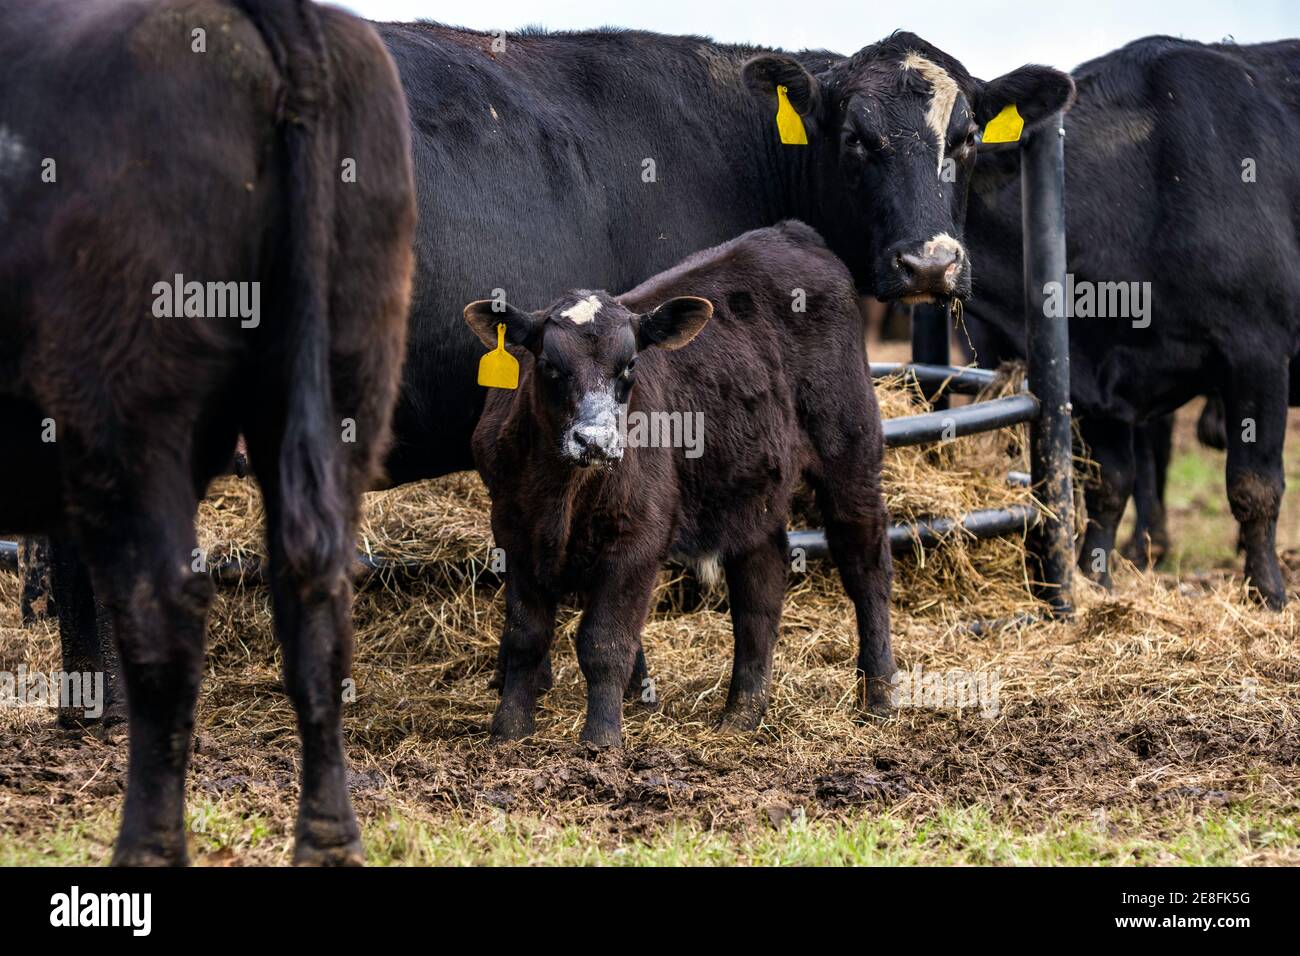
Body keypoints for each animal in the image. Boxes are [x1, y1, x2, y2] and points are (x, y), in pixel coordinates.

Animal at [0, 0, 416, 866]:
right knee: (316, 606)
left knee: (163, 610)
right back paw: (327, 844)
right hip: (344, 379)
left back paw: (146, 849)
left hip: (127, 409)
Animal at [467, 222, 892, 746]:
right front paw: (509, 730)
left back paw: (879, 696)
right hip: (751, 487)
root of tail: (788, 233)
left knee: (865, 564)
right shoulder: (512, 528)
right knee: (759, 586)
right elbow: (525, 636)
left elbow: (604, 641)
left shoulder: (640, 537)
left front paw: (601, 740)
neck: (562, 488)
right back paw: (742, 713)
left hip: (851, 451)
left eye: (629, 366)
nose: (596, 440)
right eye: (548, 364)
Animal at [961, 35, 1300, 608]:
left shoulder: (1258, 350)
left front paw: (1268, 592)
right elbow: (1108, 485)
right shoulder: (1099, 380)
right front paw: (1095, 577)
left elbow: (1254, 484)